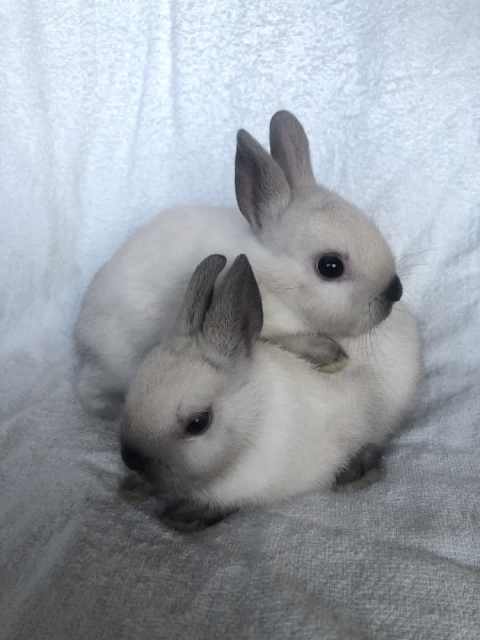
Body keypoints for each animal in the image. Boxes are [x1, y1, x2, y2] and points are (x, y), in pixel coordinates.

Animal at [120, 254, 411, 531]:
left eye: (198, 423)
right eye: (131, 394)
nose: (131, 459)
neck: (252, 421)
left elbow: (220, 505)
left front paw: (182, 517)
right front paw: (132, 488)